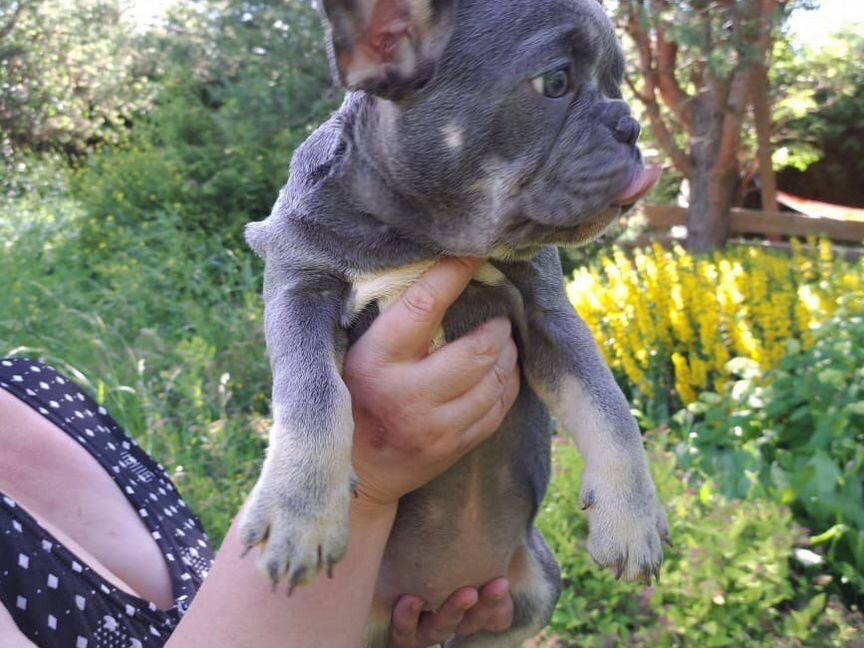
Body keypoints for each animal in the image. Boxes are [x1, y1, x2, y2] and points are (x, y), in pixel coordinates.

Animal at [241, 0, 668, 644]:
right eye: (556, 82)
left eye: (618, 84)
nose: (630, 124)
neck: (419, 236)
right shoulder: (298, 285)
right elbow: (312, 391)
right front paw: (301, 508)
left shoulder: (549, 314)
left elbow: (608, 404)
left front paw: (634, 518)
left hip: (535, 588)